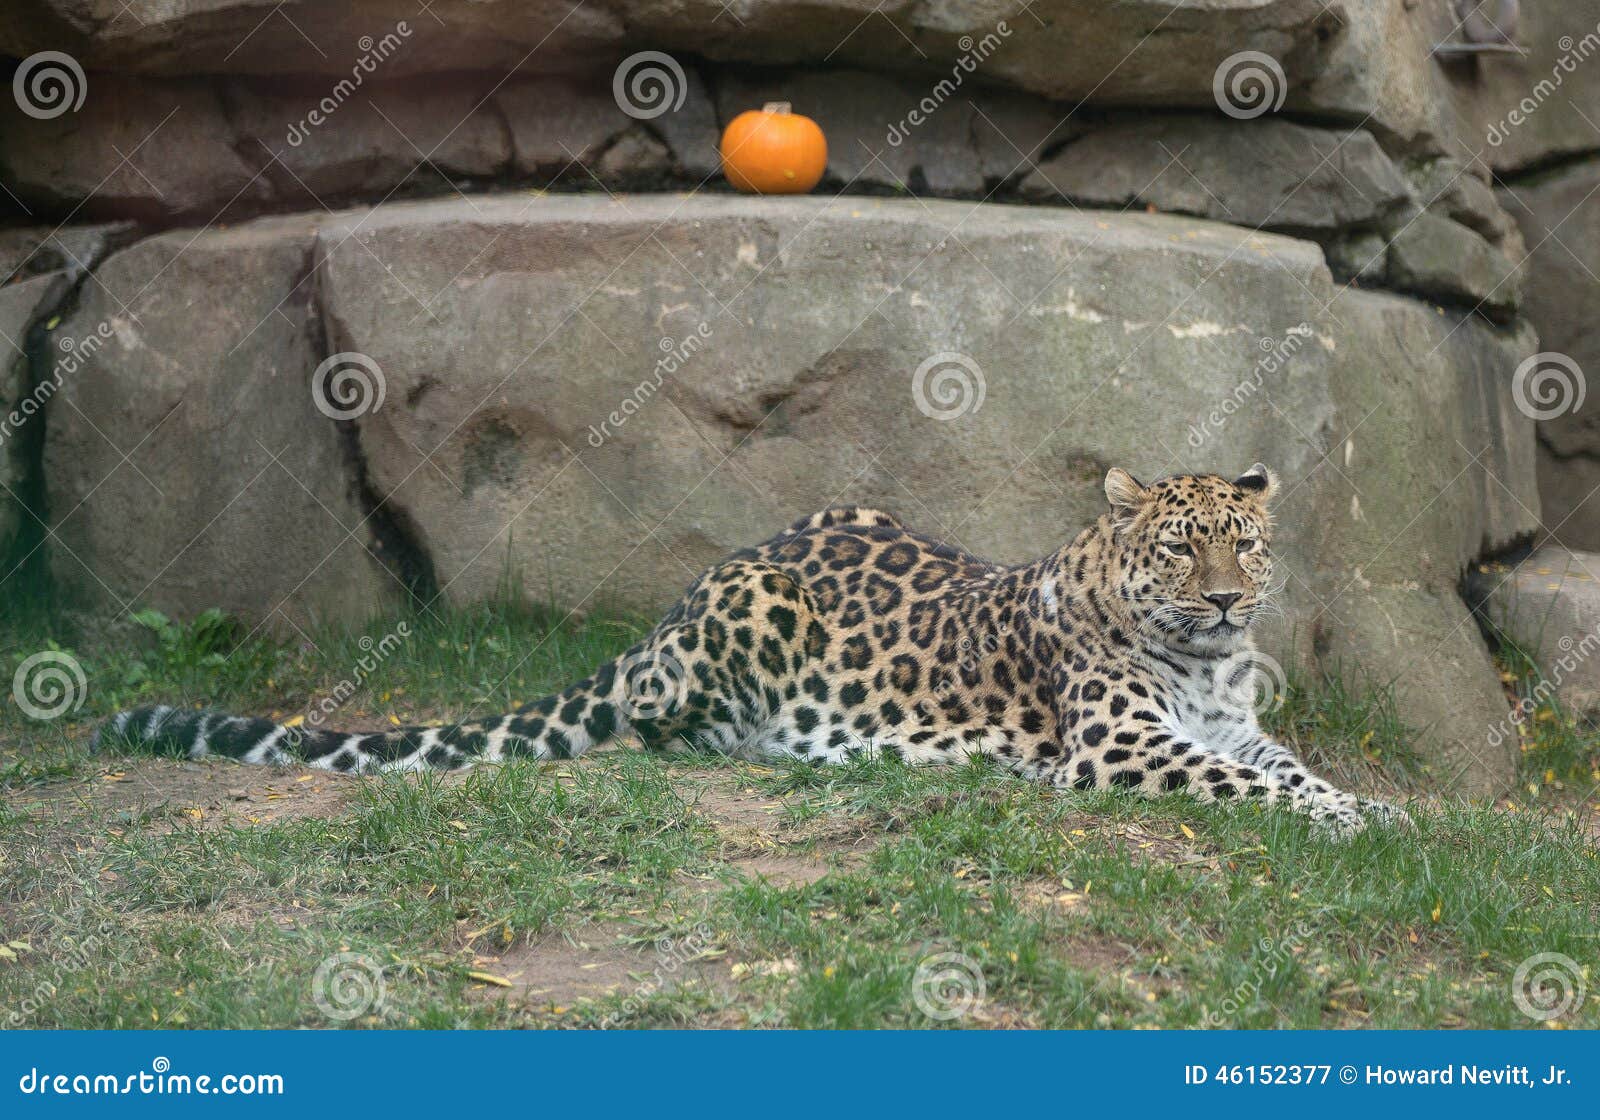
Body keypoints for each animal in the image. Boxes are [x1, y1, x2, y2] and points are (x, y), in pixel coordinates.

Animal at [100, 463, 1408, 834]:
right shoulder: (1119, 749)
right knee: (661, 726)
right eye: (1183, 550)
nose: (1230, 602)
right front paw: (1349, 820)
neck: (1204, 663)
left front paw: (1380, 807)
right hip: (745, 617)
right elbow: (1246, 785)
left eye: (1245, 544)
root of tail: (680, 596)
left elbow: (1280, 765)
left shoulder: (1232, 723)